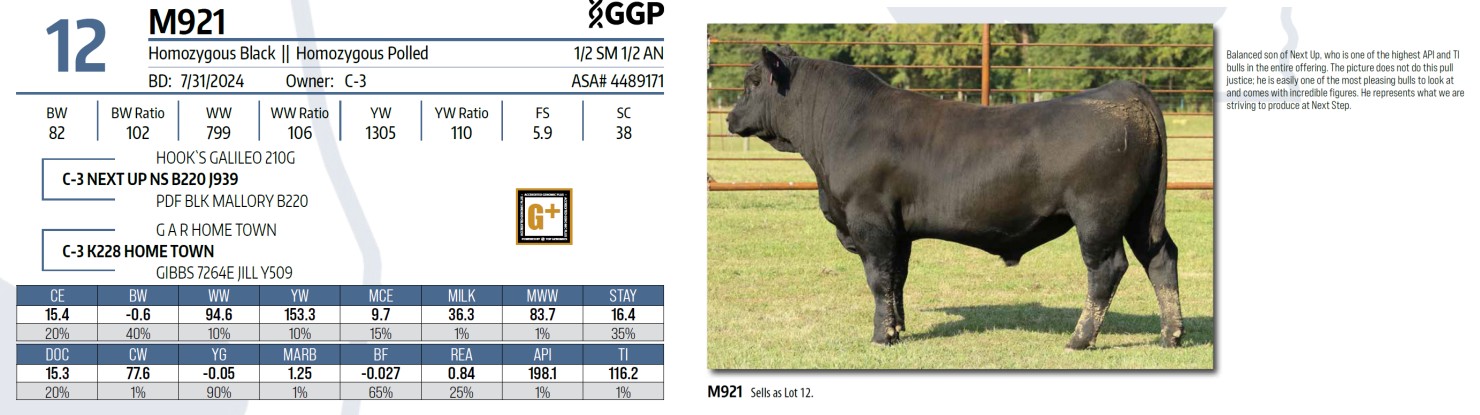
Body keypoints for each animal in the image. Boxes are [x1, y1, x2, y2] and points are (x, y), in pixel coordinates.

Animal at [726, 46, 1182, 350]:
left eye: (753, 83)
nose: (730, 118)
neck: (843, 127)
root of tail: (1122, 89)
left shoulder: (870, 220)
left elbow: (878, 279)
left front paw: (881, 336)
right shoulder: (898, 230)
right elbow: (897, 278)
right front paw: (898, 327)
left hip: (1097, 217)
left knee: (1106, 269)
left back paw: (1079, 338)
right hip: (1141, 215)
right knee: (1160, 258)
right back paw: (1171, 334)